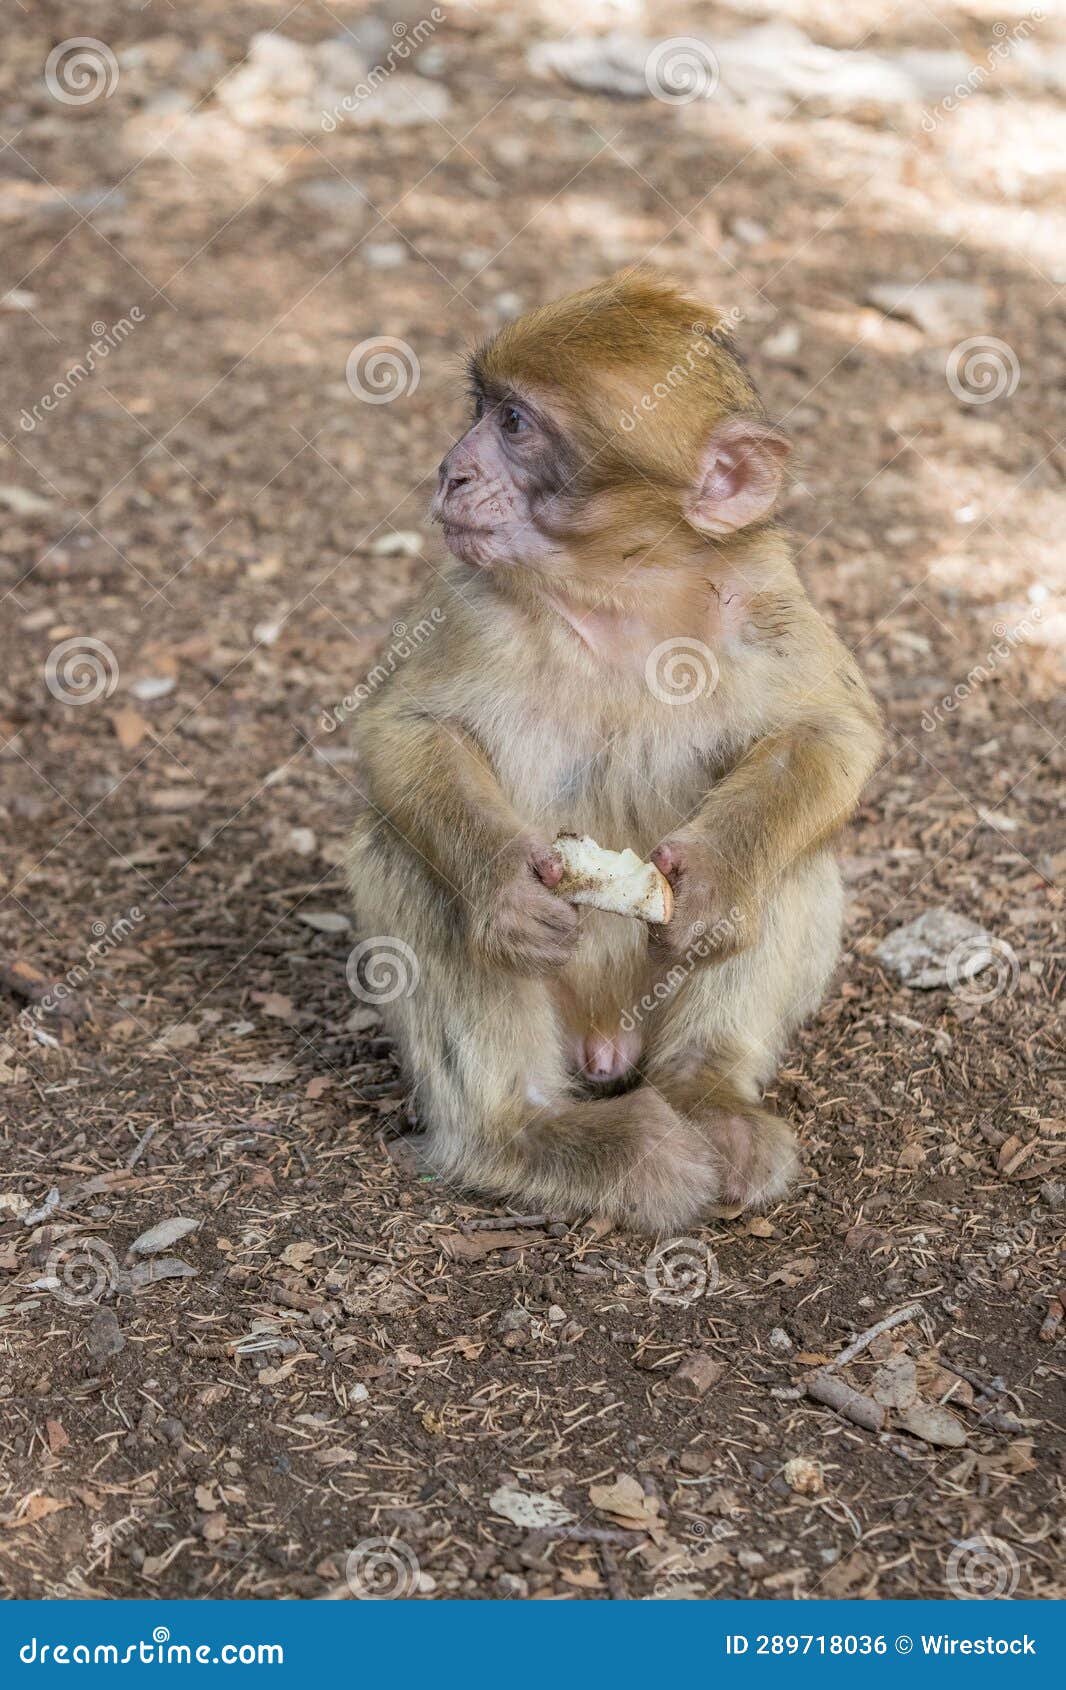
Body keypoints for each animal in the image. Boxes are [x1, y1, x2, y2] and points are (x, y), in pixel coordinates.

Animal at [345, 270, 883, 1234]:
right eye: (483, 409)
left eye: (514, 423)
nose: (452, 469)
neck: (618, 593)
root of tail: (605, 1041)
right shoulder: (471, 598)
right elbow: (403, 732)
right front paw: (505, 889)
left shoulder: (763, 592)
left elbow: (829, 734)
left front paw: (715, 885)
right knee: (404, 852)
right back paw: (531, 1134)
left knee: (797, 858)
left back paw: (708, 1093)